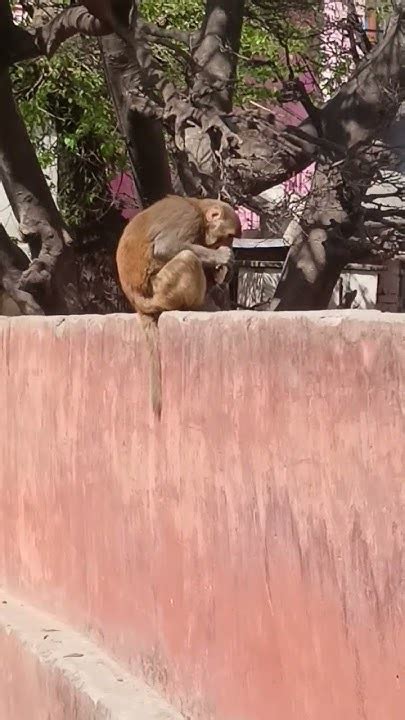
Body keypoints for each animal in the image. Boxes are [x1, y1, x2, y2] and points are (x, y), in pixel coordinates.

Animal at [116, 195, 242, 417]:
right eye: (228, 236)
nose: (231, 244)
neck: (197, 207)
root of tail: (138, 301)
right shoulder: (189, 217)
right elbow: (165, 247)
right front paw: (222, 257)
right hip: (162, 289)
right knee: (187, 258)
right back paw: (199, 306)